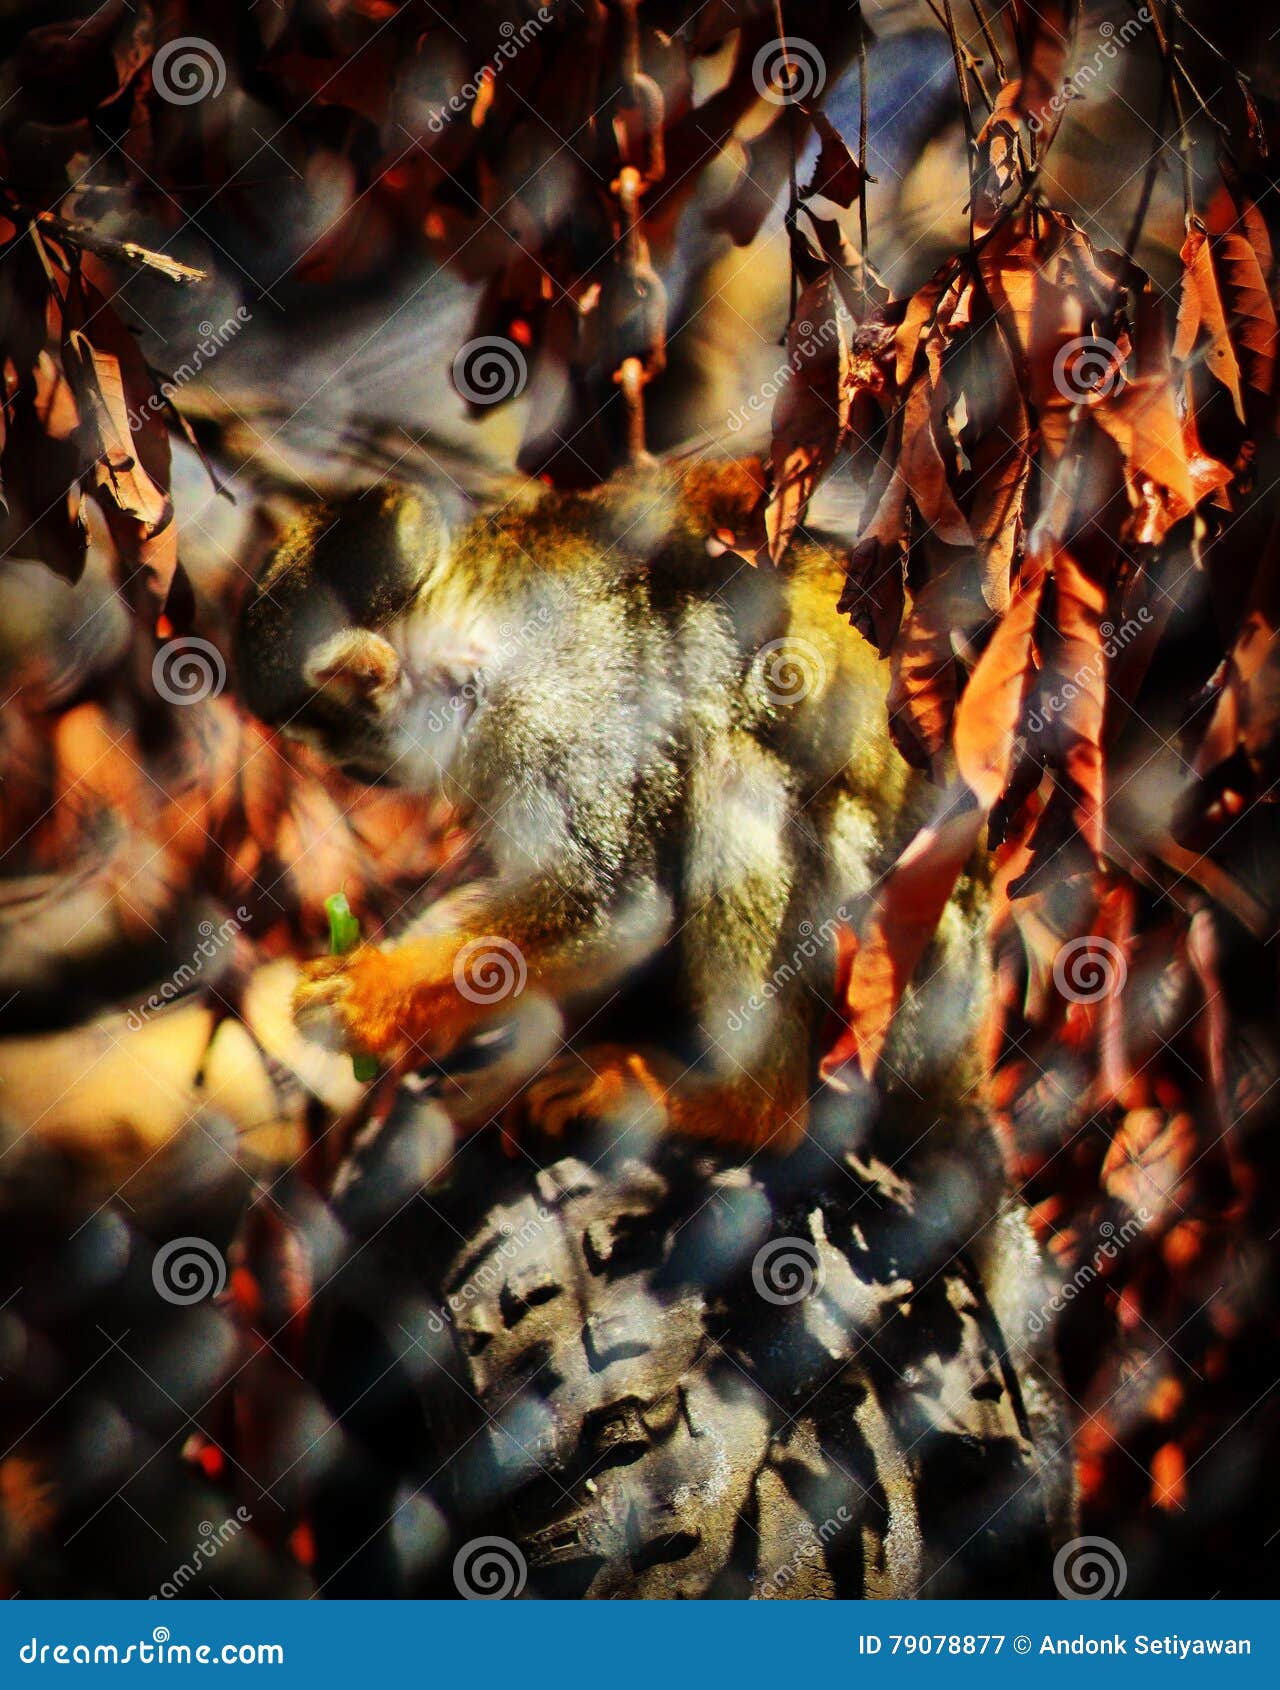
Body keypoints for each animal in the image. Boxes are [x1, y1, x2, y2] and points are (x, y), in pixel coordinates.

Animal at [233, 458, 985, 1154]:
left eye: (350, 759)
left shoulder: (555, 707)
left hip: (884, 951)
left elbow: (615, 909)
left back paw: (746, 1106)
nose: (375, 777)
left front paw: (371, 991)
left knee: (732, 768)